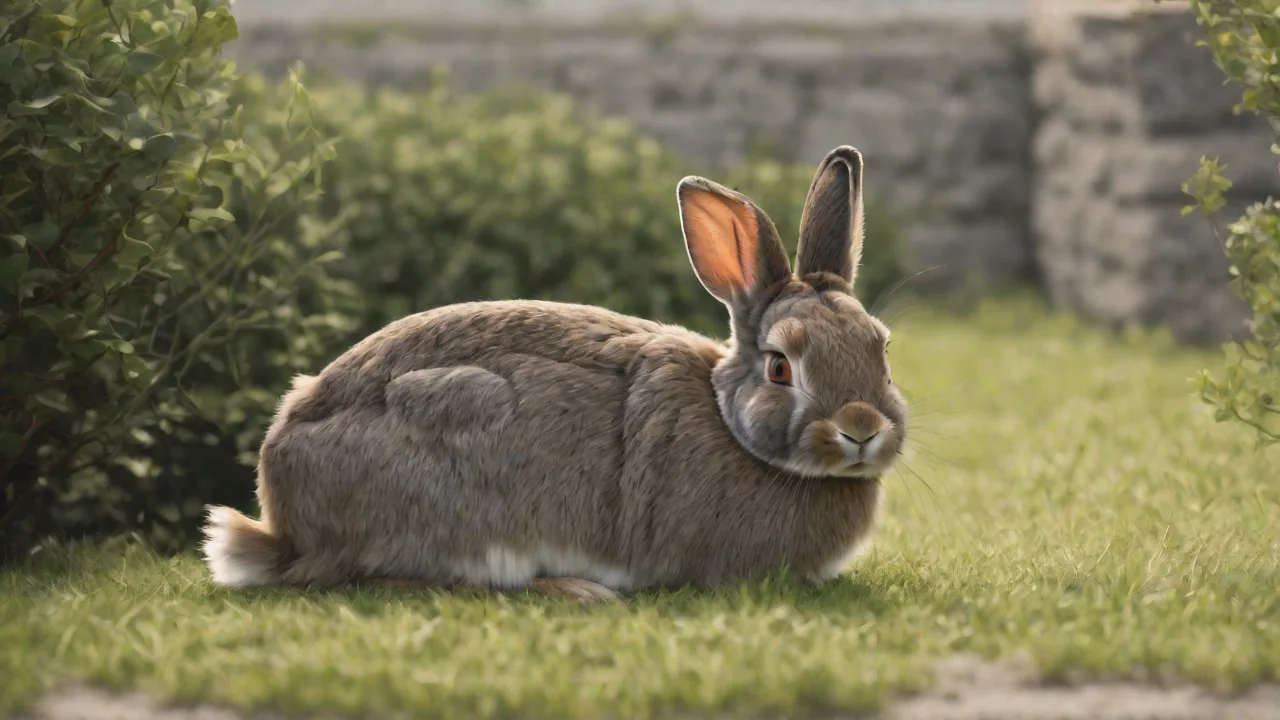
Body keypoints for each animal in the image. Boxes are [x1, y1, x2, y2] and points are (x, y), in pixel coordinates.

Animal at [200, 145, 908, 602]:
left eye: (882, 349)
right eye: (781, 366)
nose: (861, 428)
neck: (733, 427)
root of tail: (282, 516)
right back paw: (576, 589)